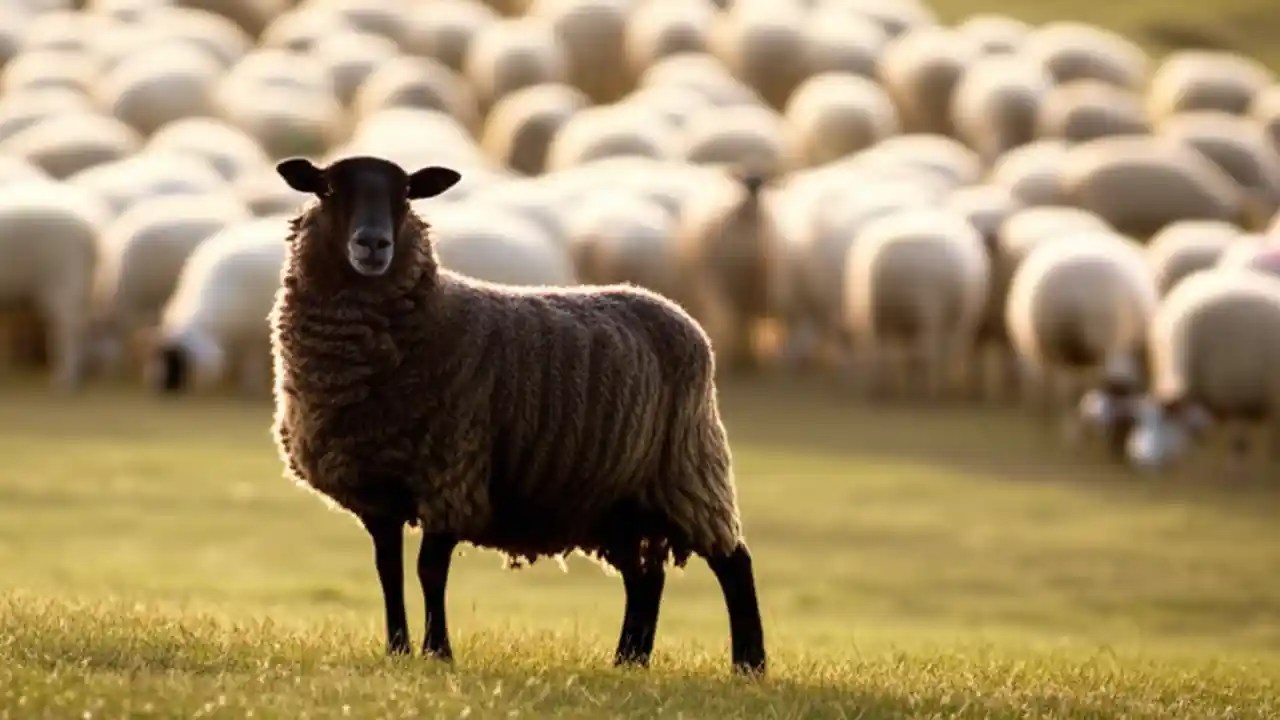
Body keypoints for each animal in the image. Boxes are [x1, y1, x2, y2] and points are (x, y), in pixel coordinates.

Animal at [269, 155, 767, 675]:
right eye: (328, 189)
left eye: (404, 194)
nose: (373, 243)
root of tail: (681, 316)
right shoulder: (377, 489)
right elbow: (389, 570)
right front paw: (398, 648)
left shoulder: (452, 474)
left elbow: (430, 570)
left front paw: (438, 651)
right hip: (618, 496)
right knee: (645, 578)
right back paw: (628, 660)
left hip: (690, 468)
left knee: (734, 562)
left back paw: (748, 665)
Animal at [843, 208, 991, 400]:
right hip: (926, 312)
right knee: (923, 354)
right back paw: (927, 389)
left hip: (874, 317)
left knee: (878, 354)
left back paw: (881, 388)